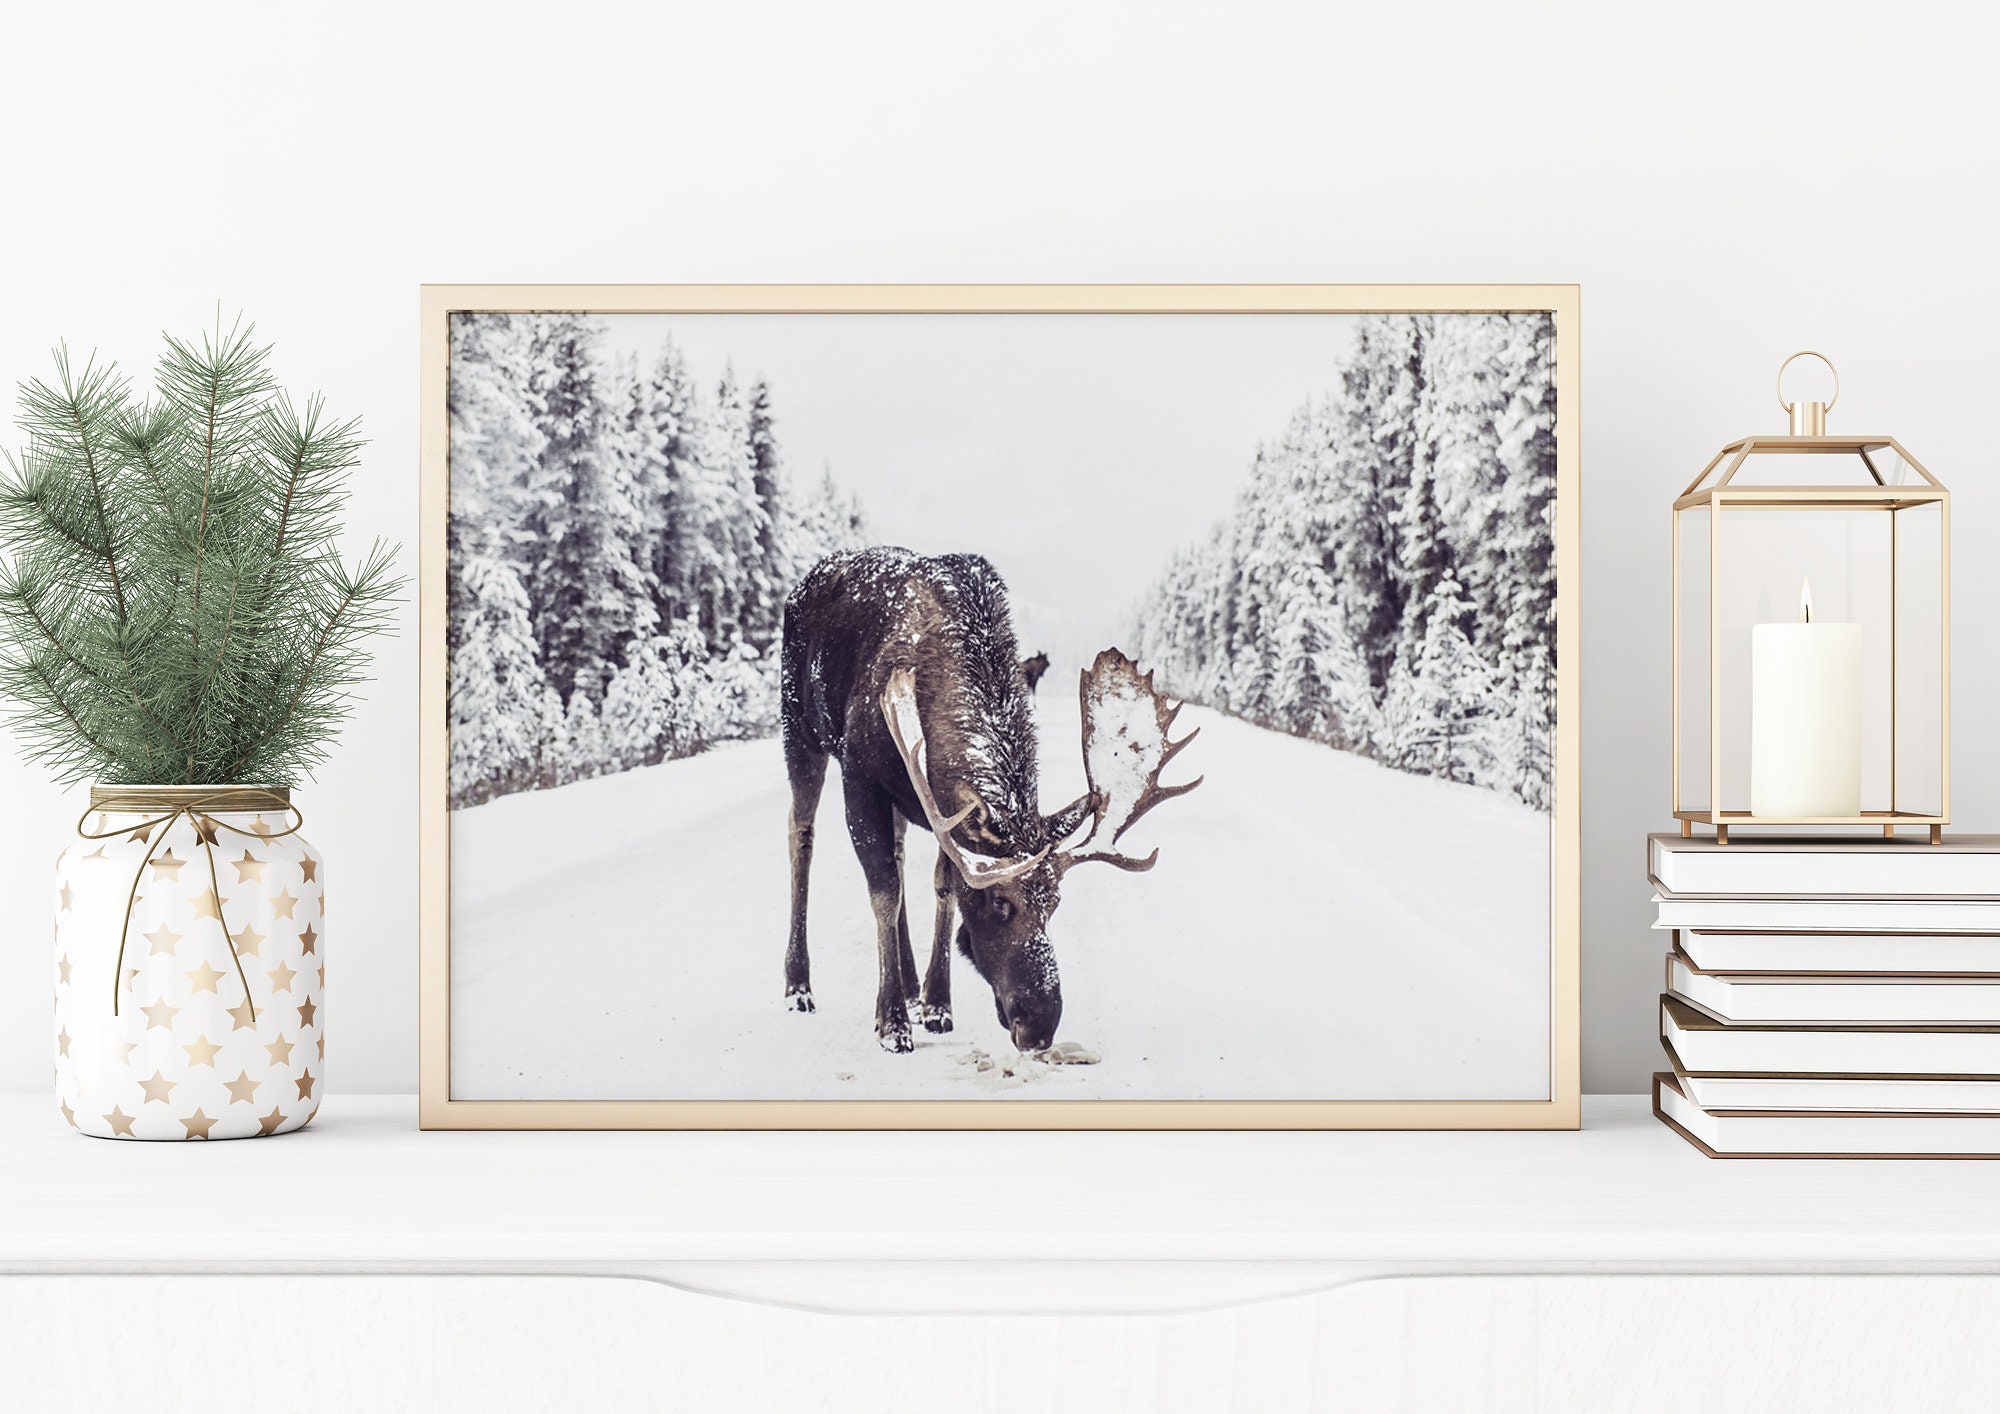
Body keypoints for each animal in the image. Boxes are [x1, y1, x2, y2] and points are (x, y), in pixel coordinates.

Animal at [779, 547, 1201, 1054]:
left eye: (1055, 901)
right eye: (1000, 903)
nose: (1039, 1026)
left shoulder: (940, 807)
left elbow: (941, 887)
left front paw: (937, 1003)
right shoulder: (861, 776)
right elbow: (884, 893)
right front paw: (892, 1022)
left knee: (897, 854)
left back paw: (910, 984)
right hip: (799, 728)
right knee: (801, 834)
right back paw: (798, 985)